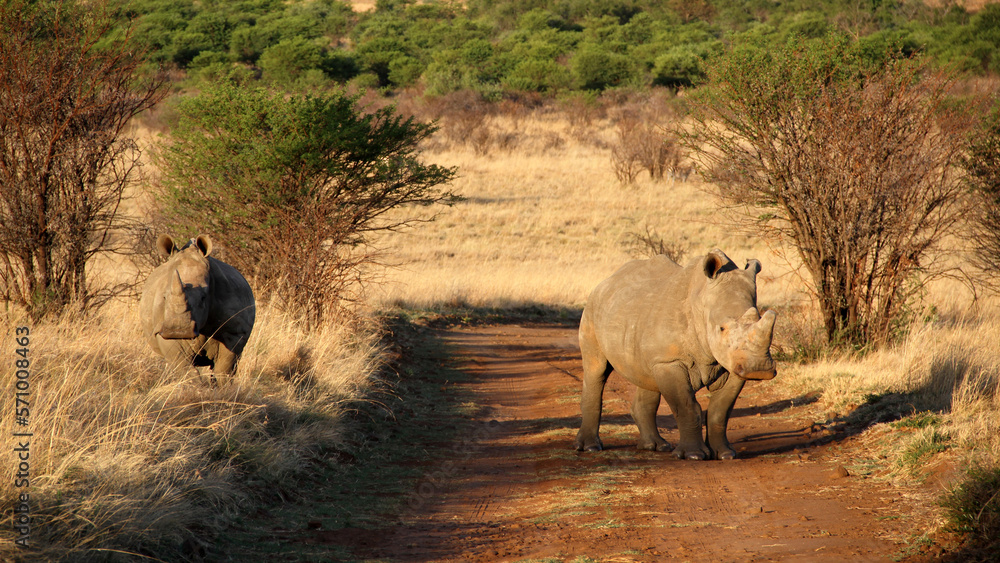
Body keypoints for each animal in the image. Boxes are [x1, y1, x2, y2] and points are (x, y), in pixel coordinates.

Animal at [139, 234, 255, 378]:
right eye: (164, 297)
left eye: (203, 298)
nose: (178, 330)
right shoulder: (162, 331)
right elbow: (183, 368)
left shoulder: (235, 331)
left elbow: (224, 370)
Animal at [575, 249, 777, 460]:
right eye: (721, 328)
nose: (759, 369)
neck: (702, 302)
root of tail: (605, 282)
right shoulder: (670, 361)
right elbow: (687, 406)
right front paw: (693, 456)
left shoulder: (733, 362)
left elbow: (720, 409)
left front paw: (725, 454)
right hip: (592, 309)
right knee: (596, 370)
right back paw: (590, 447)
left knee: (647, 376)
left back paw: (655, 446)